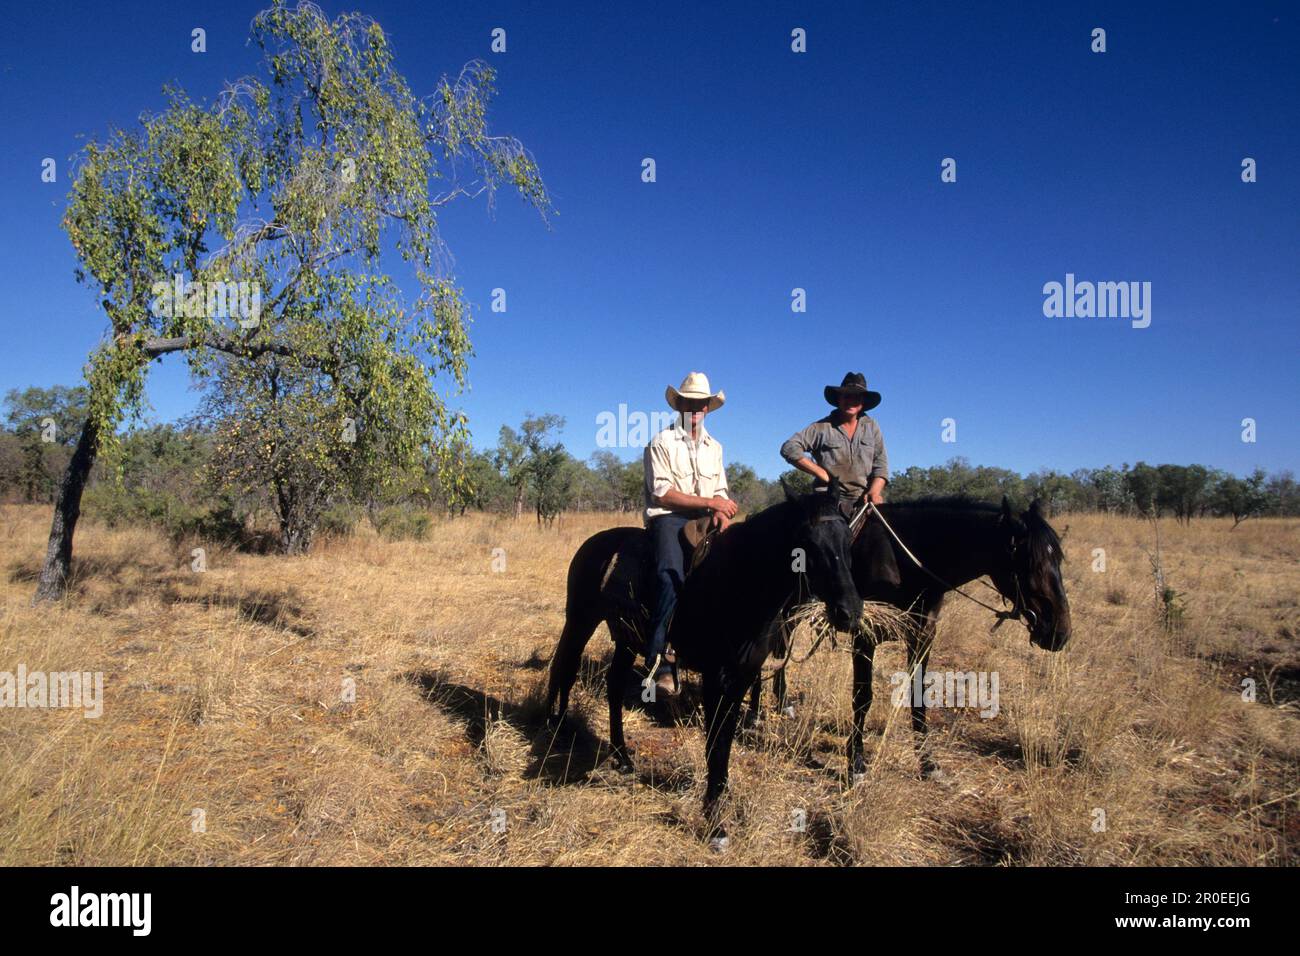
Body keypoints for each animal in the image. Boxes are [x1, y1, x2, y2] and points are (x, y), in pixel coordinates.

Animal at [545, 479, 863, 842]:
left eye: (848, 539)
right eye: (808, 542)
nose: (849, 612)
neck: (740, 585)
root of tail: (594, 543)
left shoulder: (742, 677)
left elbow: (724, 740)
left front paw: (721, 804)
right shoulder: (716, 677)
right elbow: (714, 743)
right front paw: (715, 822)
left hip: (624, 639)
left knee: (612, 687)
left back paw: (622, 757)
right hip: (580, 620)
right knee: (564, 667)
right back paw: (555, 727)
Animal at [748, 495, 1072, 781]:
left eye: (1057, 558)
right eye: (1028, 562)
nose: (1060, 632)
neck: (904, 563)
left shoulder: (922, 636)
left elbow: (919, 697)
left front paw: (927, 763)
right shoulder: (865, 636)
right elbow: (862, 697)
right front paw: (857, 764)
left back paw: (781, 704)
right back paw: (753, 715)